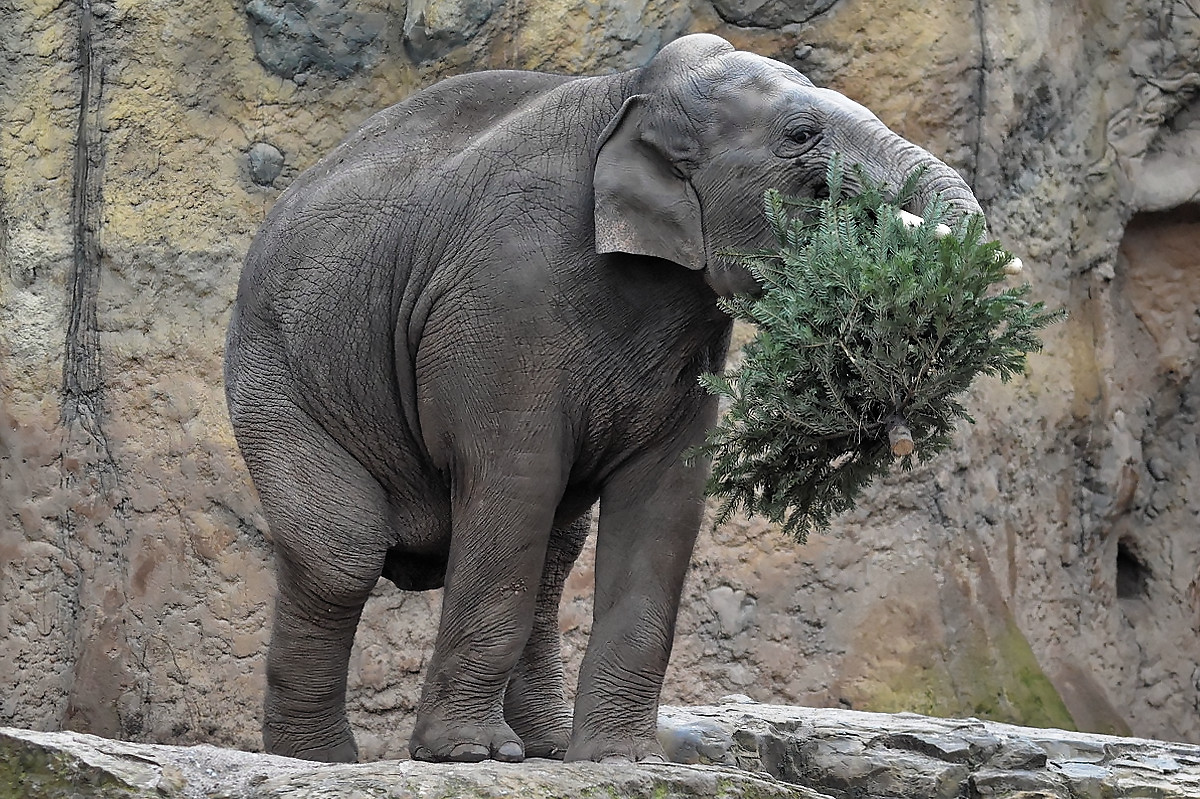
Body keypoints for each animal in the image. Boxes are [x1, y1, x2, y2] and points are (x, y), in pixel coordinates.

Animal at [224, 32, 987, 764]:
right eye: (801, 134)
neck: (632, 94)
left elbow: (666, 499)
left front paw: (625, 759)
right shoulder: (504, 299)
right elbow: (515, 479)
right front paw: (464, 755)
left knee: (551, 559)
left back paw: (540, 747)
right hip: (276, 376)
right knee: (344, 554)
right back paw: (327, 759)